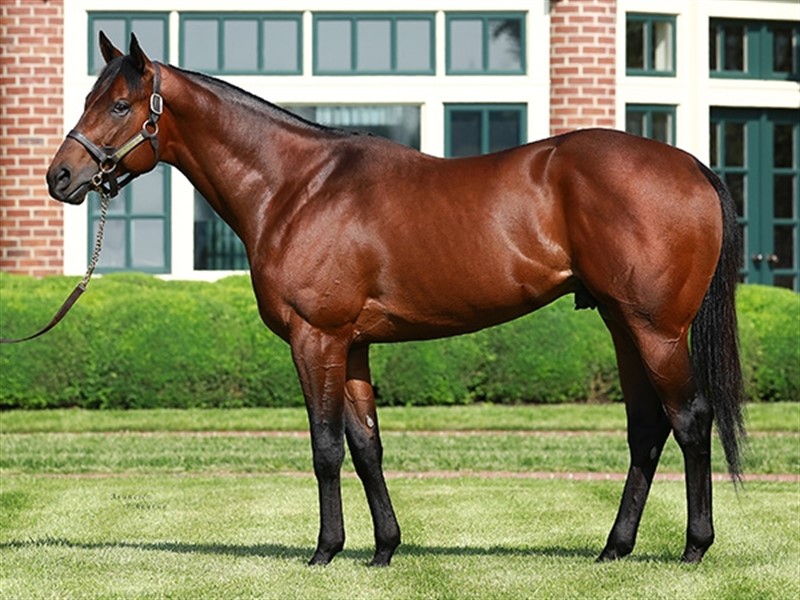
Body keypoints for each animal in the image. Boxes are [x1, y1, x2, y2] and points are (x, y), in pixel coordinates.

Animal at [46, 33, 745, 567]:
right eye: (90, 98)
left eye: (119, 104)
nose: (61, 176)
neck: (296, 188)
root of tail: (691, 165)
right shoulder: (352, 345)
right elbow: (366, 447)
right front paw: (384, 549)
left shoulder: (316, 338)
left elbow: (326, 448)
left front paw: (325, 551)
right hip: (623, 325)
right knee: (647, 428)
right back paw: (614, 548)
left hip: (656, 329)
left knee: (690, 420)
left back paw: (694, 547)